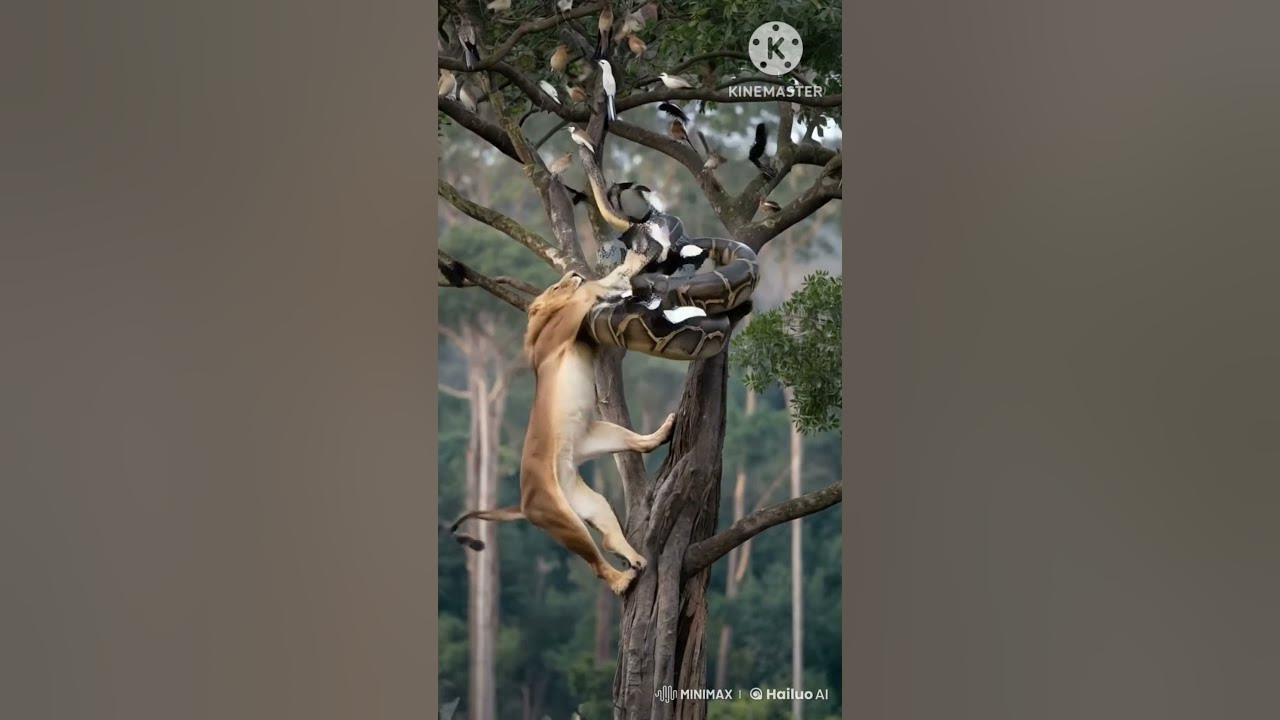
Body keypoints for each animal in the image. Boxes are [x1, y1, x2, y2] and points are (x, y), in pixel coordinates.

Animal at [450, 251, 674, 595]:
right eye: (555, 286)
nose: (571, 273)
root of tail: (523, 503)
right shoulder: (567, 324)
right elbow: (589, 290)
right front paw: (623, 268)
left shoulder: (585, 337)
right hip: (561, 517)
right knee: (596, 563)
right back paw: (623, 581)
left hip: (593, 469)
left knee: (610, 534)